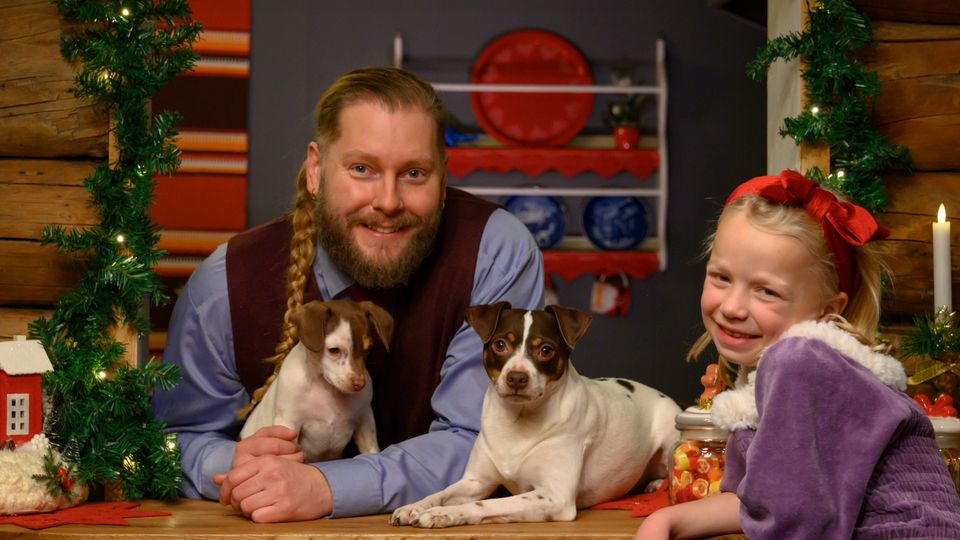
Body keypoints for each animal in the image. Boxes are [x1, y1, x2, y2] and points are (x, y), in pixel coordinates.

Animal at [238, 299, 393, 462]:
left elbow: (372, 452)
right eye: (334, 350)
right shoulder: (288, 424)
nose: (360, 384)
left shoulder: (364, 421)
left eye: (368, 349)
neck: (326, 387)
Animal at [391, 302, 680, 528]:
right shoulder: (475, 482)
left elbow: (487, 506)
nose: (517, 377)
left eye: (546, 350)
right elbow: (440, 493)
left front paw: (443, 513)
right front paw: (415, 506)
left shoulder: (554, 496)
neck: (518, 422)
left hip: (670, 441)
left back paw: (657, 484)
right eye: (500, 344)